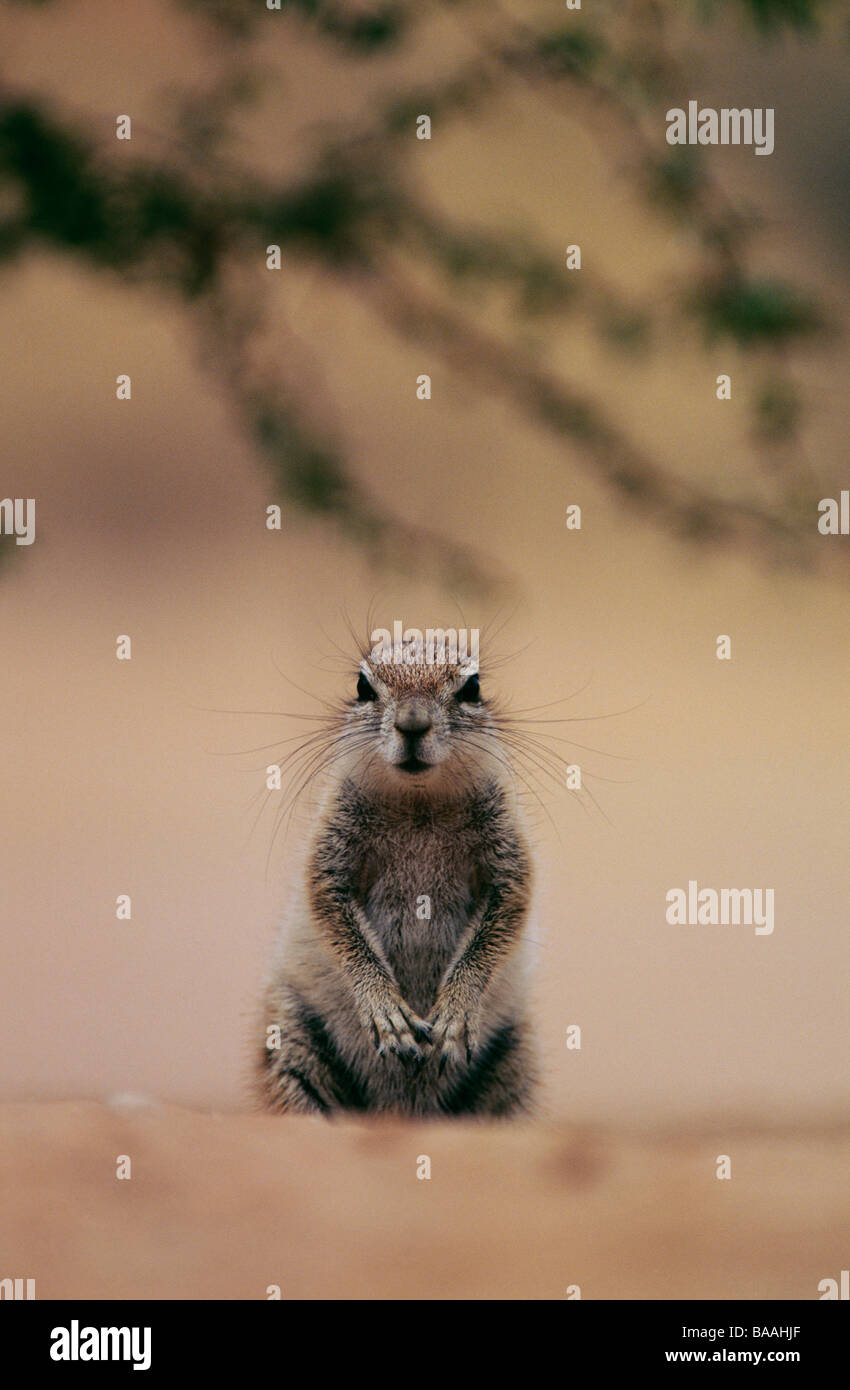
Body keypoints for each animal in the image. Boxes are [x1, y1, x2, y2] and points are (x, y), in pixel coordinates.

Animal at [257, 639, 538, 1118]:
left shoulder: (509, 858)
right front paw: (385, 1011)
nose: (412, 722)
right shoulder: (331, 851)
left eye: (473, 687)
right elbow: (336, 920)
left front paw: (456, 1012)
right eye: (362, 686)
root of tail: (401, 1115)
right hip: (290, 1043)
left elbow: (501, 923)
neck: (418, 804)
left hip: (514, 1069)